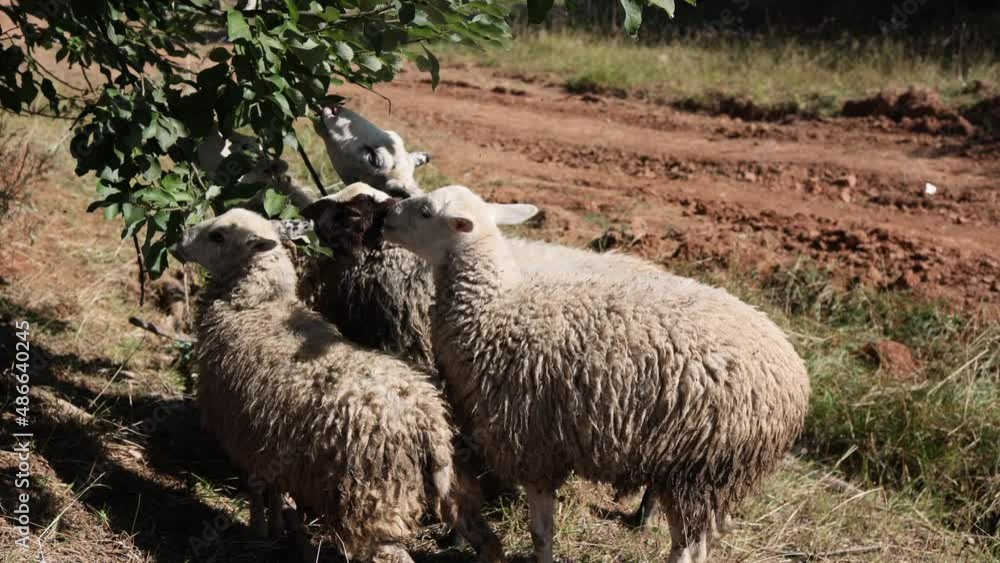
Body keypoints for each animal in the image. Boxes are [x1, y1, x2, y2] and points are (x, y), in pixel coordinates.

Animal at [173, 208, 505, 563]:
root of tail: (425, 422)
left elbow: (256, 487)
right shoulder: (266, 440)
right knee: (486, 537)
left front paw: (258, 530)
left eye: (218, 236)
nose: (180, 243)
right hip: (453, 482)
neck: (258, 305)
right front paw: (276, 528)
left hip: (373, 500)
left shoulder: (242, 433)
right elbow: (274, 488)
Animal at [381, 185, 812, 563]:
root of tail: (795, 378)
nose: (385, 213)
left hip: (700, 471)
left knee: (690, 549)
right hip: (702, 475)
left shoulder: (533, 448)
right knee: (700, 544)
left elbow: (541, 532)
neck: (498, 309)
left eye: (425, 211)